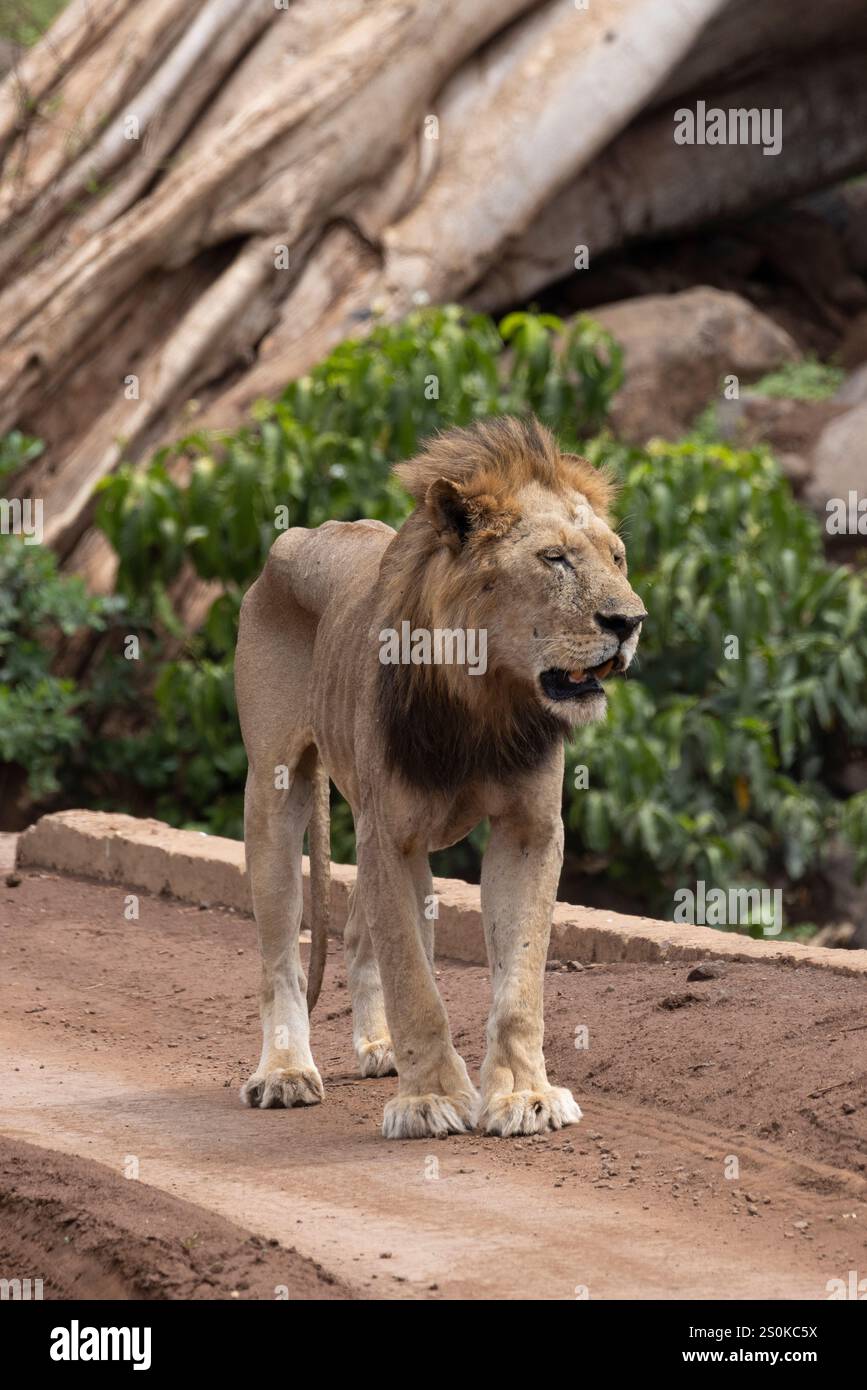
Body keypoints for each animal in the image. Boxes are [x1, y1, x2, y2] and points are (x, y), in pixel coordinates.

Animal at [235, 417, 646, 1139]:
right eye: (554, 559)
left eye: (616, 558)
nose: (629, 621)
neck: (484, 698)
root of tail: (301, 534)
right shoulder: (390, 835)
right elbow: (415, 984)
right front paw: (428, 1099)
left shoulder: (527, 830)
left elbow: (518, 984)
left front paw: (525, 1096)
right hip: (277, 790)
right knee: (281, 950)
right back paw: (284, 1073)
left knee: (354, 930)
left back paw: (377, 1048)